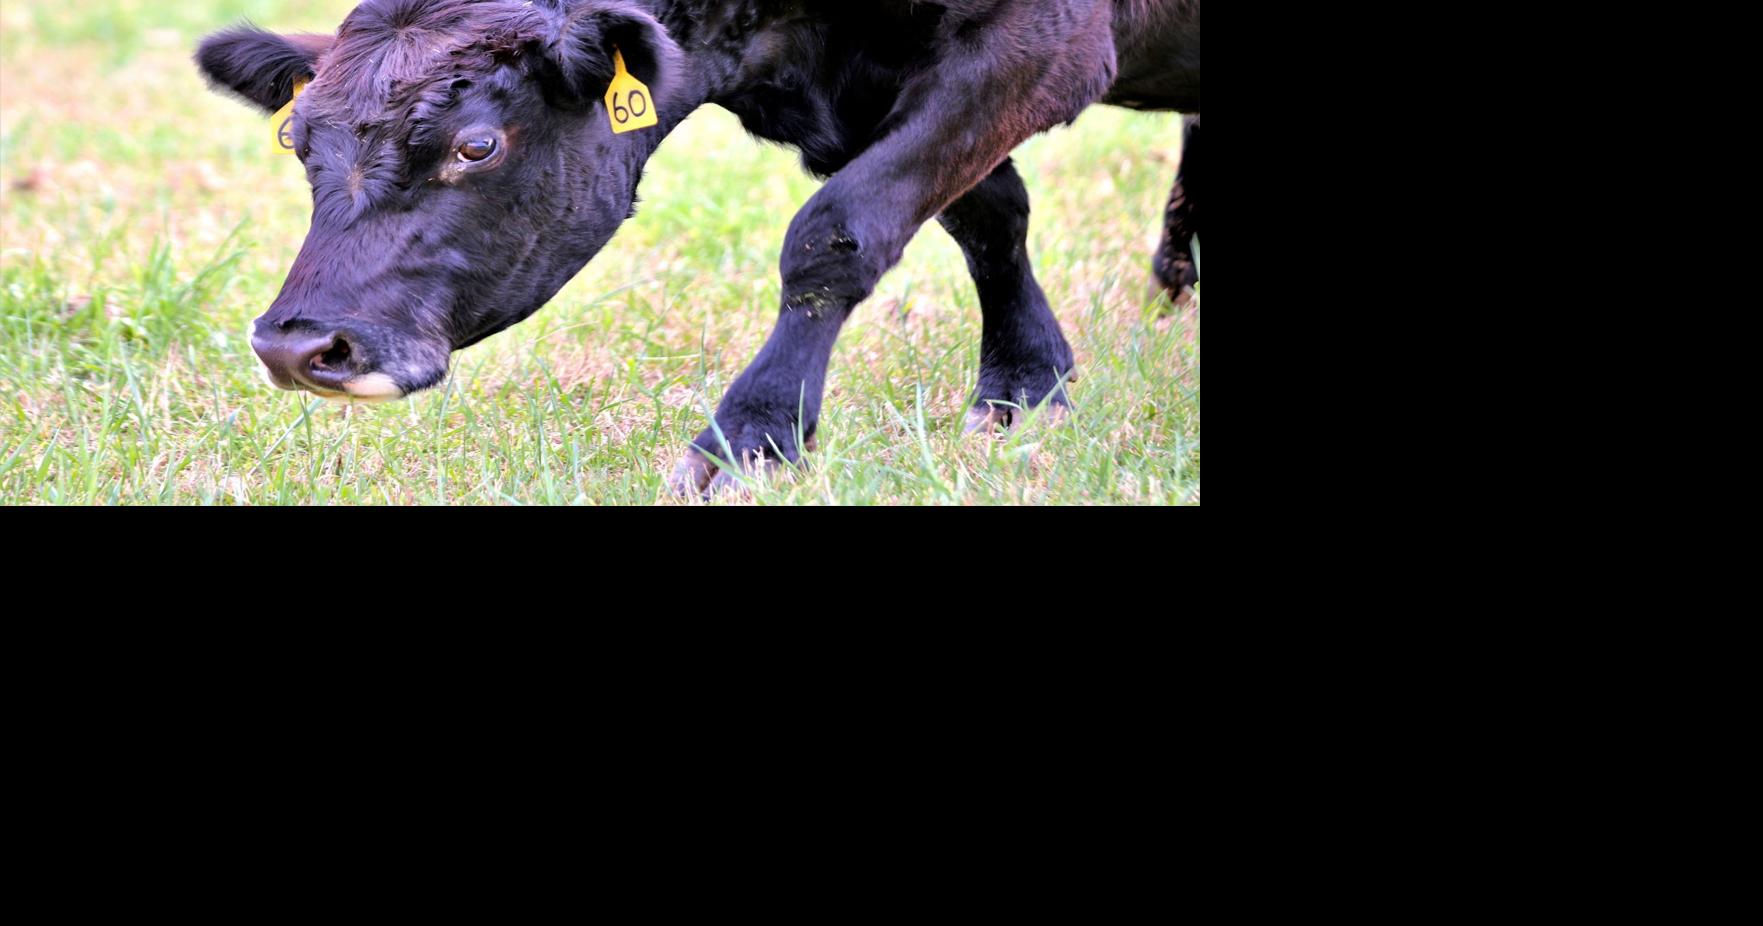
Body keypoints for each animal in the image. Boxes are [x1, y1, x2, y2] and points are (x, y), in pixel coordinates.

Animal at [195, 0, 1201, 495]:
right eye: (298, 141)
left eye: (476, 145)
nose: (298, 347)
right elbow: (987, 214)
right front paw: (1027, 383)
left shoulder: (1043, 46)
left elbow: (833, 231)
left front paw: (748, 438)